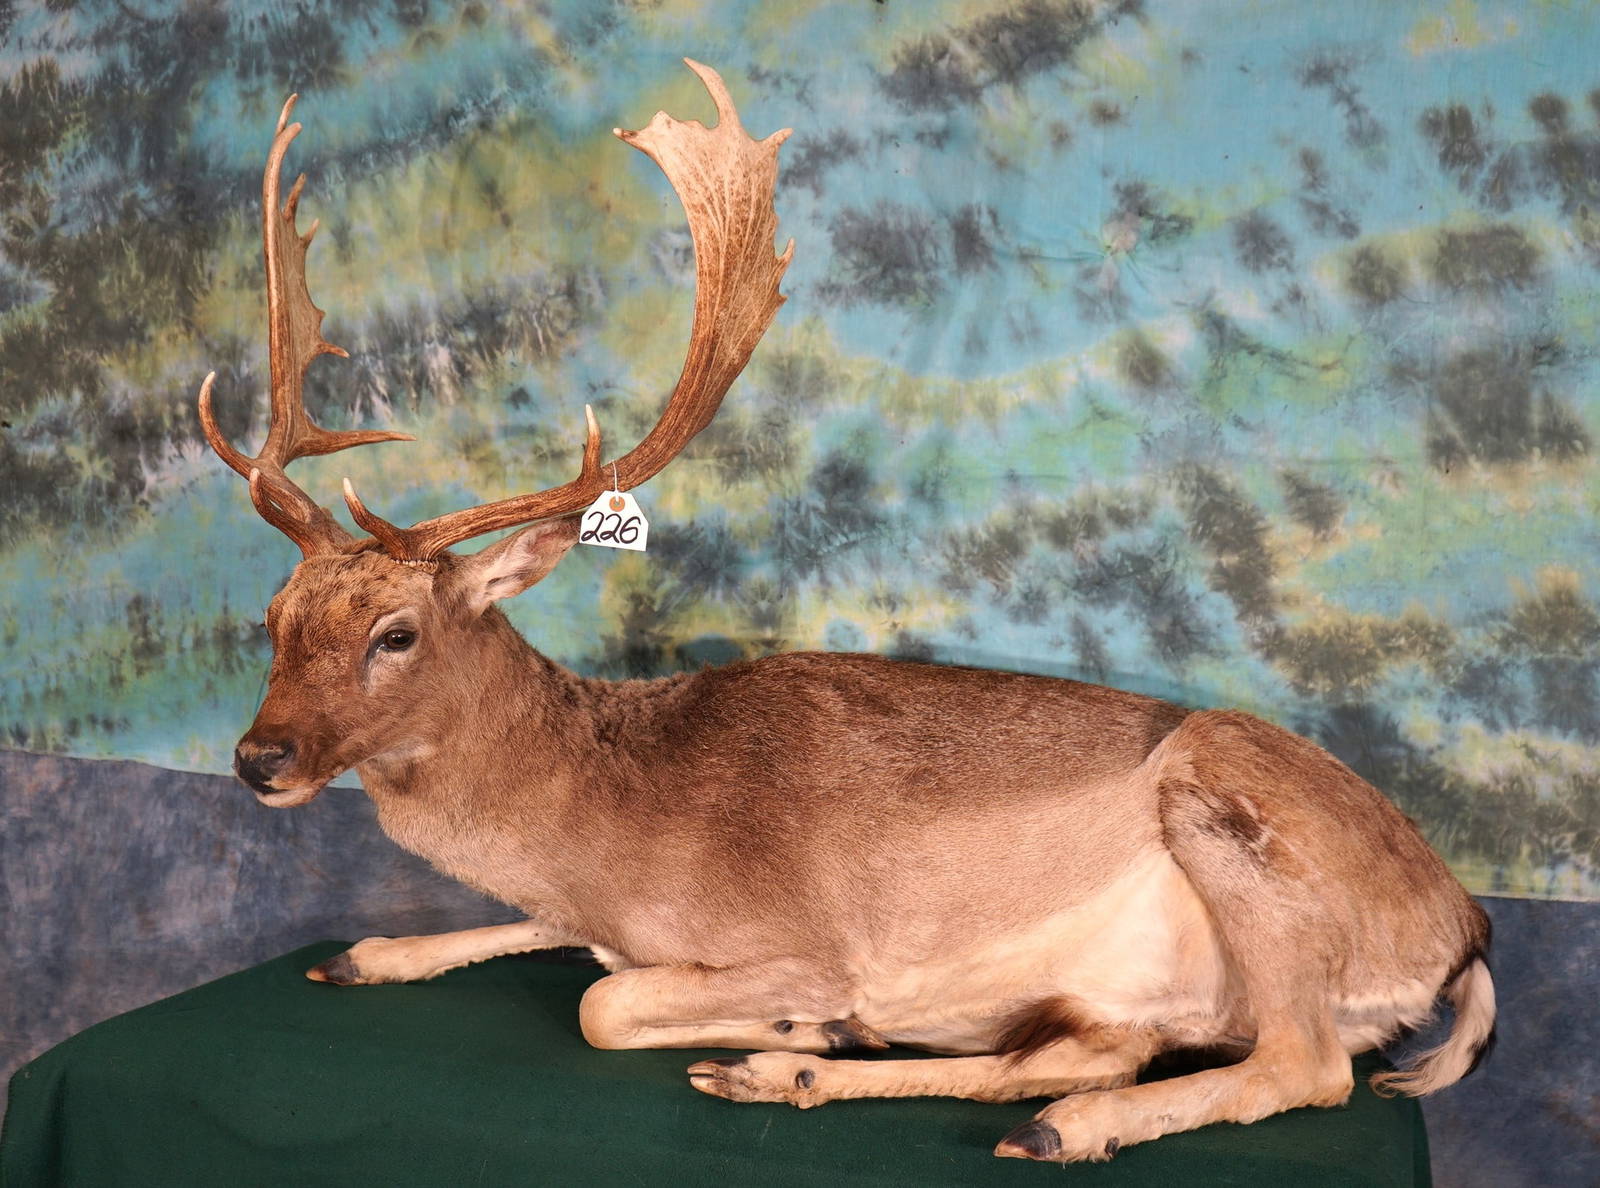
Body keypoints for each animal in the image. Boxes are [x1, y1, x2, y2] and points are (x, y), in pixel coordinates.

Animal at [196, 60, 1494, 1164]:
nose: (259, 759)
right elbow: (540, 938)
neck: (613, 821)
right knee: (1094, 1048)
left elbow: (604, 1001)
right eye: (272, 614)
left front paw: (798, 1022)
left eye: (396, 633)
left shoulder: (792, 937)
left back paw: (965, 1102)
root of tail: (1460, 932)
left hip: (1229, 811)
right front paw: (369, 953)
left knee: (1303, 1065)